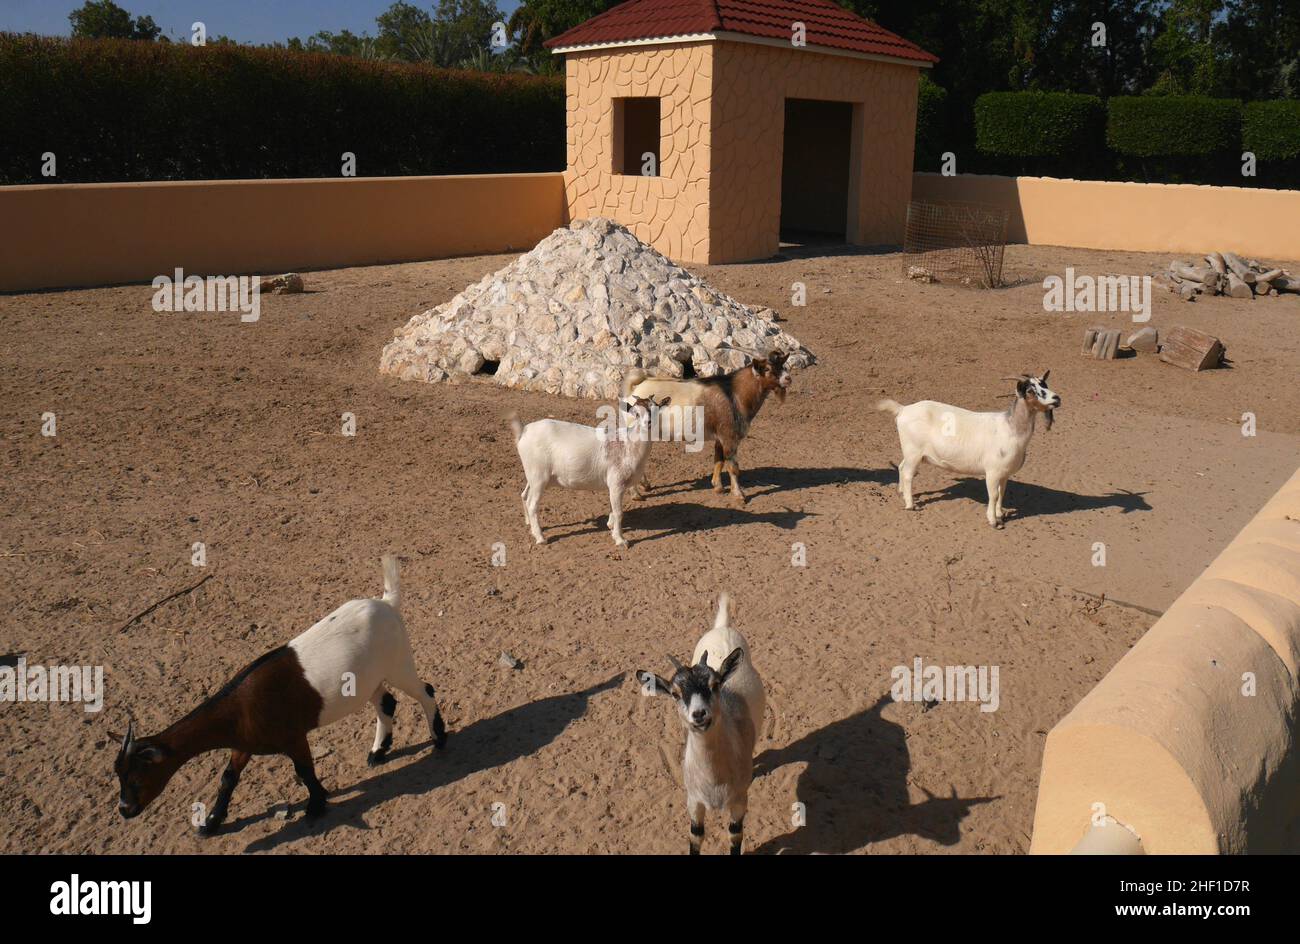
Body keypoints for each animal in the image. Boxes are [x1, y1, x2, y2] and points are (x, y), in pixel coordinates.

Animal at [112, 556, 447, 835]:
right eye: (119, 776)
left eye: (136, 779)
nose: (125, 810)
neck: (239, 707)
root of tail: (387, 603)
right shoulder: (244, 742)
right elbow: (228, 778)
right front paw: (211, 822)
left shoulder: (293, 736)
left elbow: (304, 770)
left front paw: (316, 804)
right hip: (370, 679)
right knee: (386, 703)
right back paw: (378, 751)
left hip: (399, 663)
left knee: (425, 691)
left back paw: (438, 738)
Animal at [509, 395, 668, 547]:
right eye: (636, 413)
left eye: (656, 409)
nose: (648, 423)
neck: (628, 445)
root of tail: (523, 432)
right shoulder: (616, 483)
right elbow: (619, 512)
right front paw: (620, 540)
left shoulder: (615, 486)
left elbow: (613, 508)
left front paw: (610, 526)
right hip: (539, 476)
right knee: (532, 505)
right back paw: (540, 537)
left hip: (533, 474)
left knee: (524, 495)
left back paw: (529, 525)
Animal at [623, 350, 791, 502]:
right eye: (767, 369)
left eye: (783, 364)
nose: (788, 378)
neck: (734, 394)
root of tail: (636, 387)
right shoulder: (729, 437)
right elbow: (733, 467)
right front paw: (739, 495)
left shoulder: (720, 437)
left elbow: (719, 460)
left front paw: (718, 487)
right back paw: (636, 494)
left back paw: (645, 485)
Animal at [637, 593, 765, 854]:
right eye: (675, 693)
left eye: (715, 685)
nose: (699, 714)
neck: (714, 781)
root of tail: (723, 626)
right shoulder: (694, 802)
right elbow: (696, 836)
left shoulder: (739, 802)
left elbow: (735, 836)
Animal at [876, 371, 1060, 528]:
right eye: (1030, 390)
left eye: (1045, 384)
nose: (1057, 398)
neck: (1010, 428)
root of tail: (903, 409)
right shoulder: (992, 472)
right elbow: (993, 495)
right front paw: (993, 521)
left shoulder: (1004, 473)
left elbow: (1002, 493)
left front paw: (1000, 515)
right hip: (913, 451)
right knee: (908, 474)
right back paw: (910, 505)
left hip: (910, 452)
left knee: (901, 467)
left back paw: (901, 492)